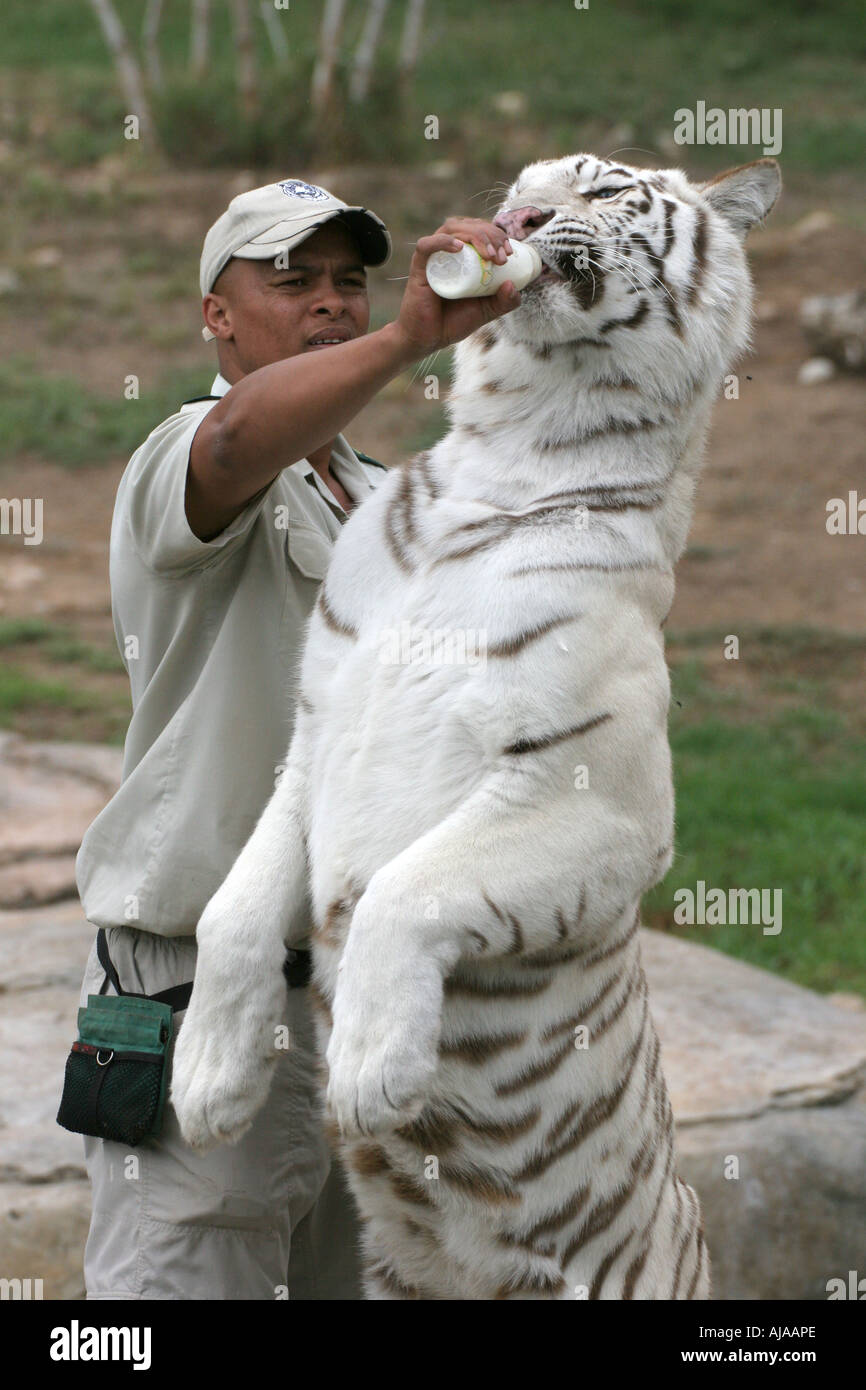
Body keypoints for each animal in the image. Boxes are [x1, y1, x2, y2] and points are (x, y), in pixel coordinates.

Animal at [171, 152, 781, 1299]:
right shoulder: (310, 745)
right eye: (520, 188)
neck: (512, 455)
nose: (516, 221)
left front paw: (371, 1075)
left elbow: (403, 892)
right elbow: (229, 912)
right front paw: (206, 1082)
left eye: (604, 190)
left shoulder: (604, 801)